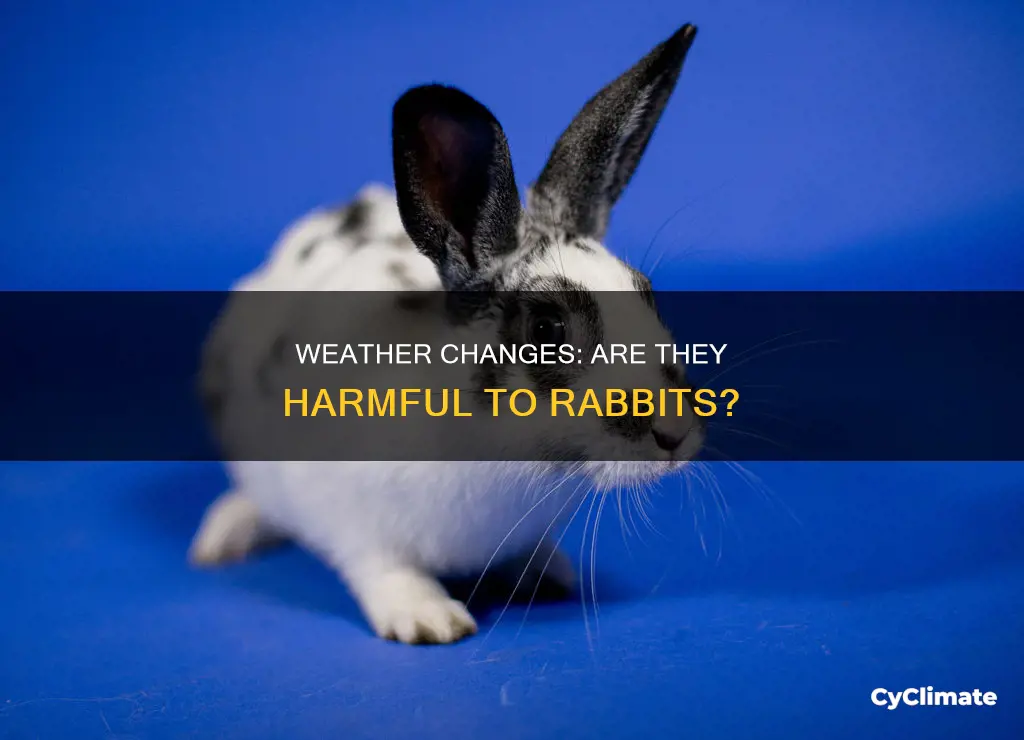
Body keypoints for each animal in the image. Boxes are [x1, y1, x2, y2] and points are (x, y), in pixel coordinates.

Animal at [190, 23, 702, 644]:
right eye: (547, 328)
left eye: (645, 290)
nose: (675, 433)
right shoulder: (353, 521)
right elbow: (382, 566)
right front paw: (429, 621)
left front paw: (551, 575)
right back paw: (221, 538)